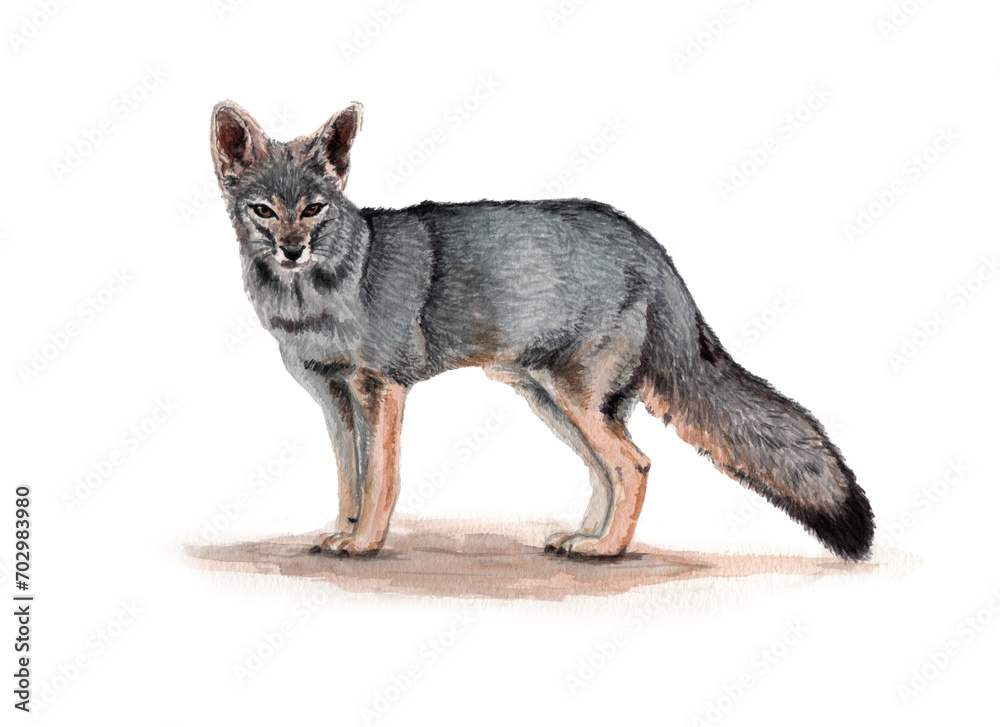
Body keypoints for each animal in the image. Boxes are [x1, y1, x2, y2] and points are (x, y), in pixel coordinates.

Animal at [210, 100, 874, 561]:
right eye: (264, 210)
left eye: (313, 208)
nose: (292, 249)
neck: (318, 299)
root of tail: (653, 250)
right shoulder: (332, 398)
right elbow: (349, 479)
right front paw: (341, 533)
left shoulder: (382, 390)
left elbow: (380, 479)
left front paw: (367, 542)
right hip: (553, 402)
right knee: (611, 469)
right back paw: (587, 535)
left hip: (572, 400)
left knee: (634, 465)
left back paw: (606, 550)